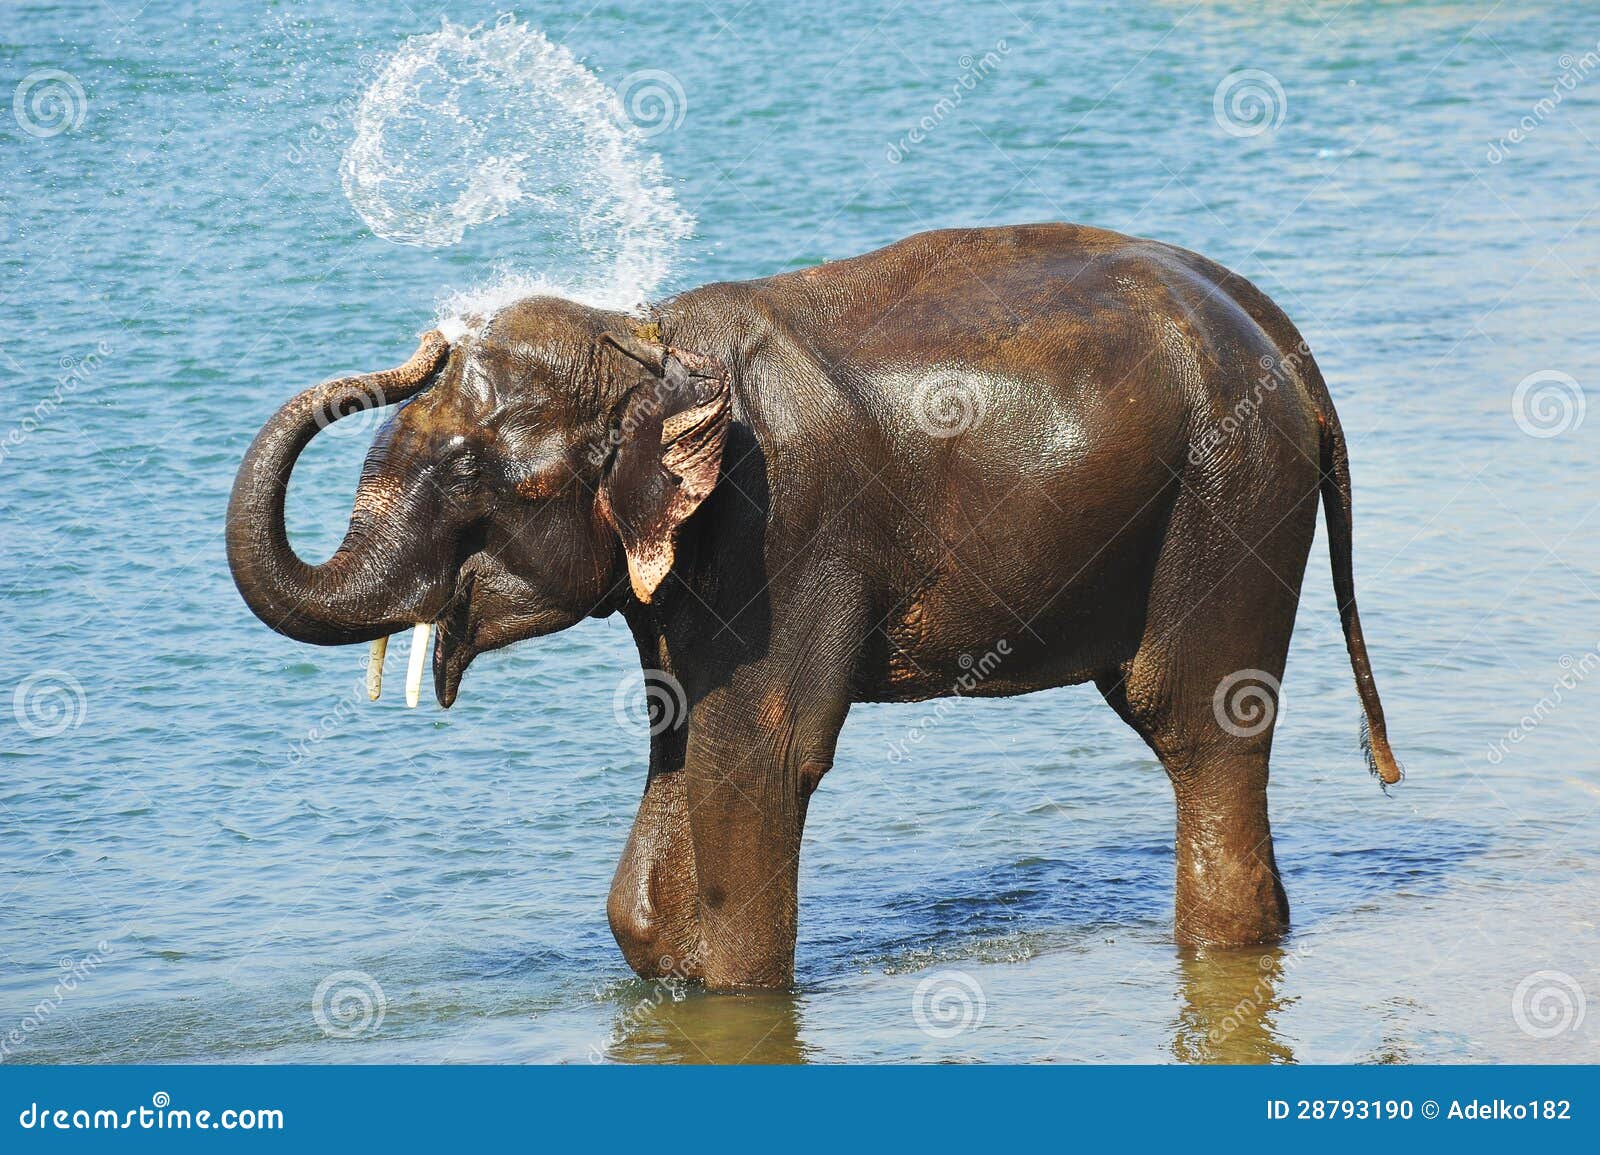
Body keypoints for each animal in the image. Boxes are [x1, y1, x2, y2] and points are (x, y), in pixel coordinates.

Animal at [226, 223, 1401, 990]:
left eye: (475, 476)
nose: (425, 342)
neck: (655, 340)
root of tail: (1283, 336)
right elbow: (679, 750)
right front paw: (669, 960)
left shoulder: (781, 531)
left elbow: (756, 758)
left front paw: (729, 992)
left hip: (1230, 492)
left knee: (1197, 729)